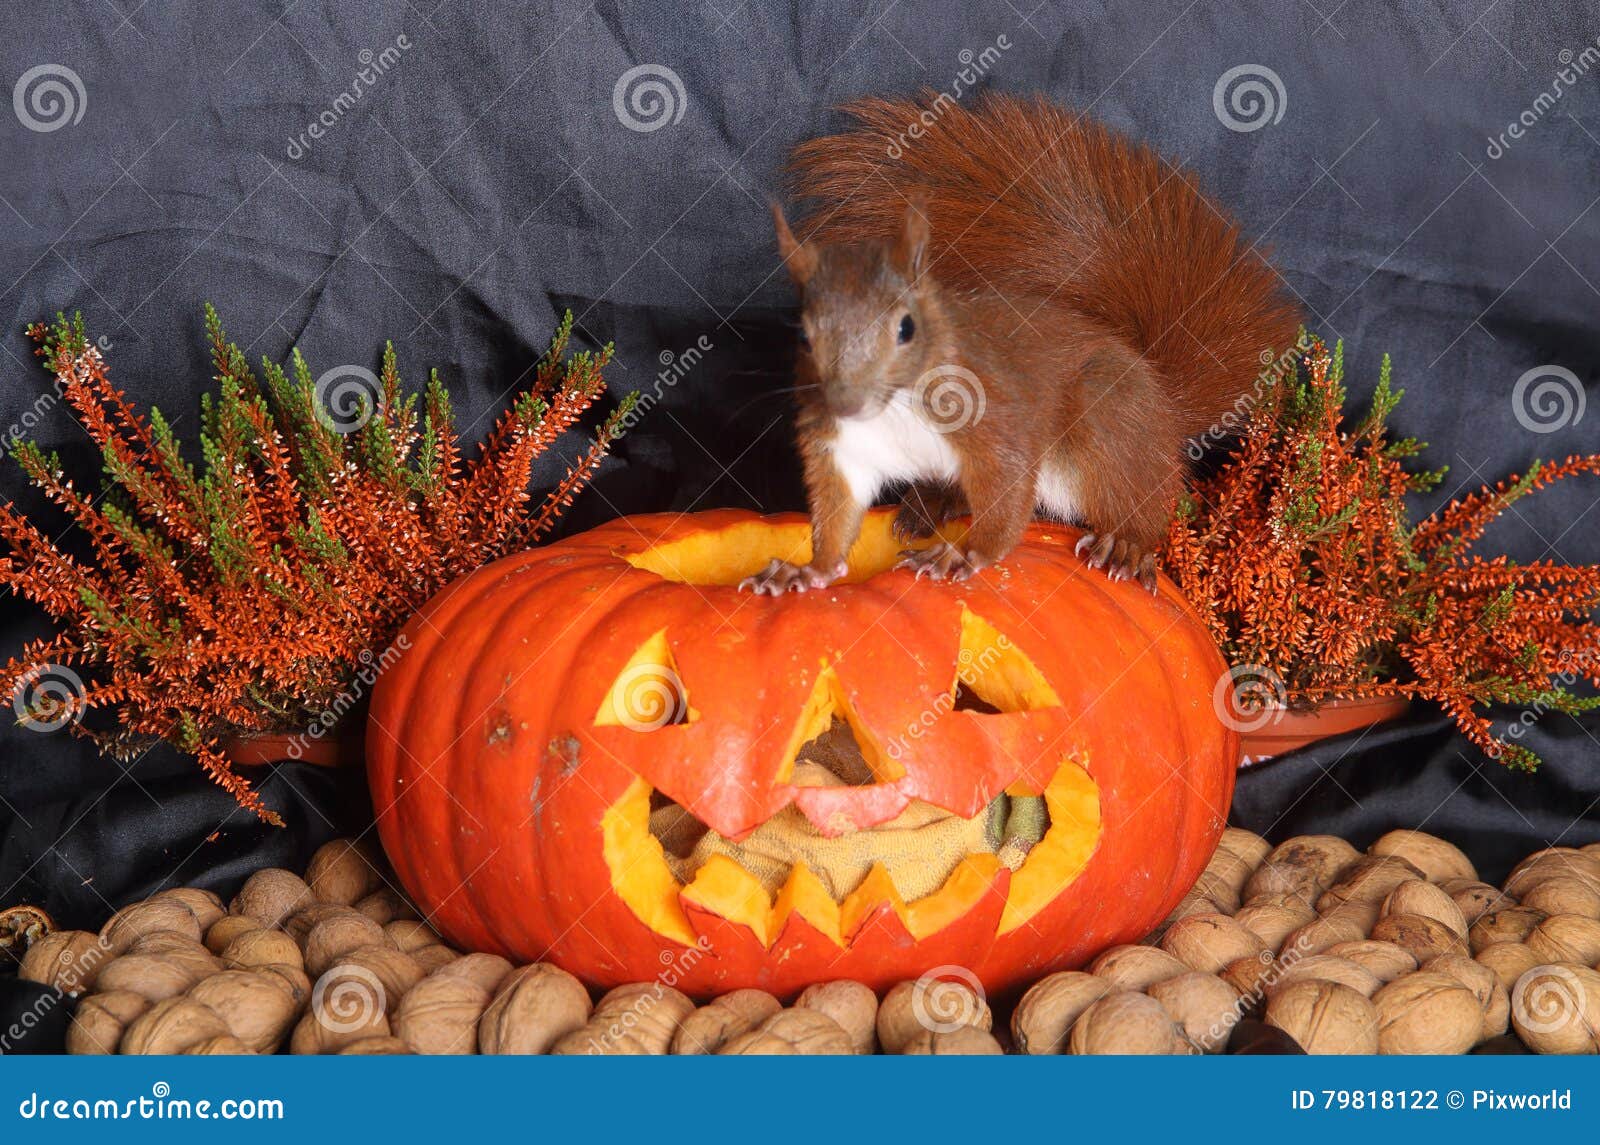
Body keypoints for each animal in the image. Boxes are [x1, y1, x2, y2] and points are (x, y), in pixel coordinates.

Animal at [740, 93, 1301, 595]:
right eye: (805, 332)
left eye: (905, 328)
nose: (848, 400)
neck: (891, 413)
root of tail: (1161, 396)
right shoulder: (844, 447)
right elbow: (837, 514)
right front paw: (807, 572)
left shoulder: (990, 414)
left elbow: (1008, 496)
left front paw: (964, 554)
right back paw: (931, 506)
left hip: (1110, 415)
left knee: (1140, 499)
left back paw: (1126, 544)